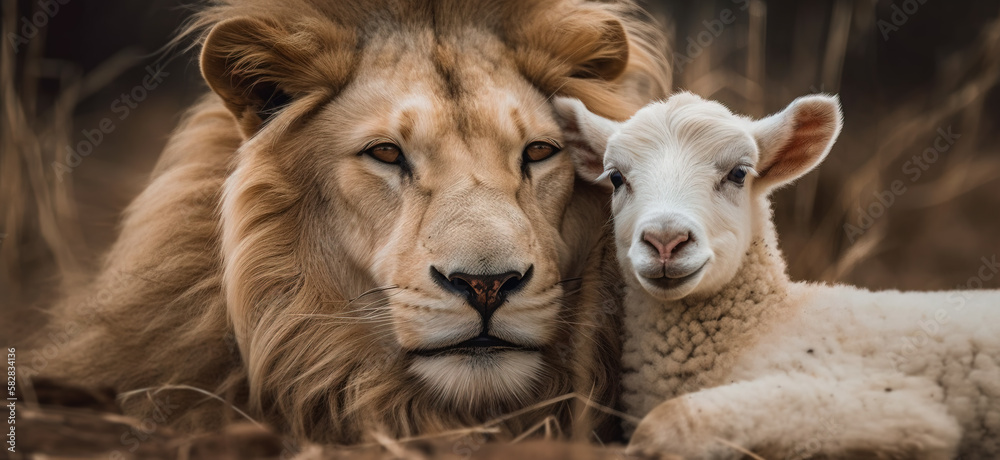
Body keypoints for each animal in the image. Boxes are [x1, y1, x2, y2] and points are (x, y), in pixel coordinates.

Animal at [553, 92, 1000, 459]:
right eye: (616, 177)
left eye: (738, 173)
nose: (666, 240)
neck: (765, 323)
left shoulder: (894, 410)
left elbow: (670, 421)